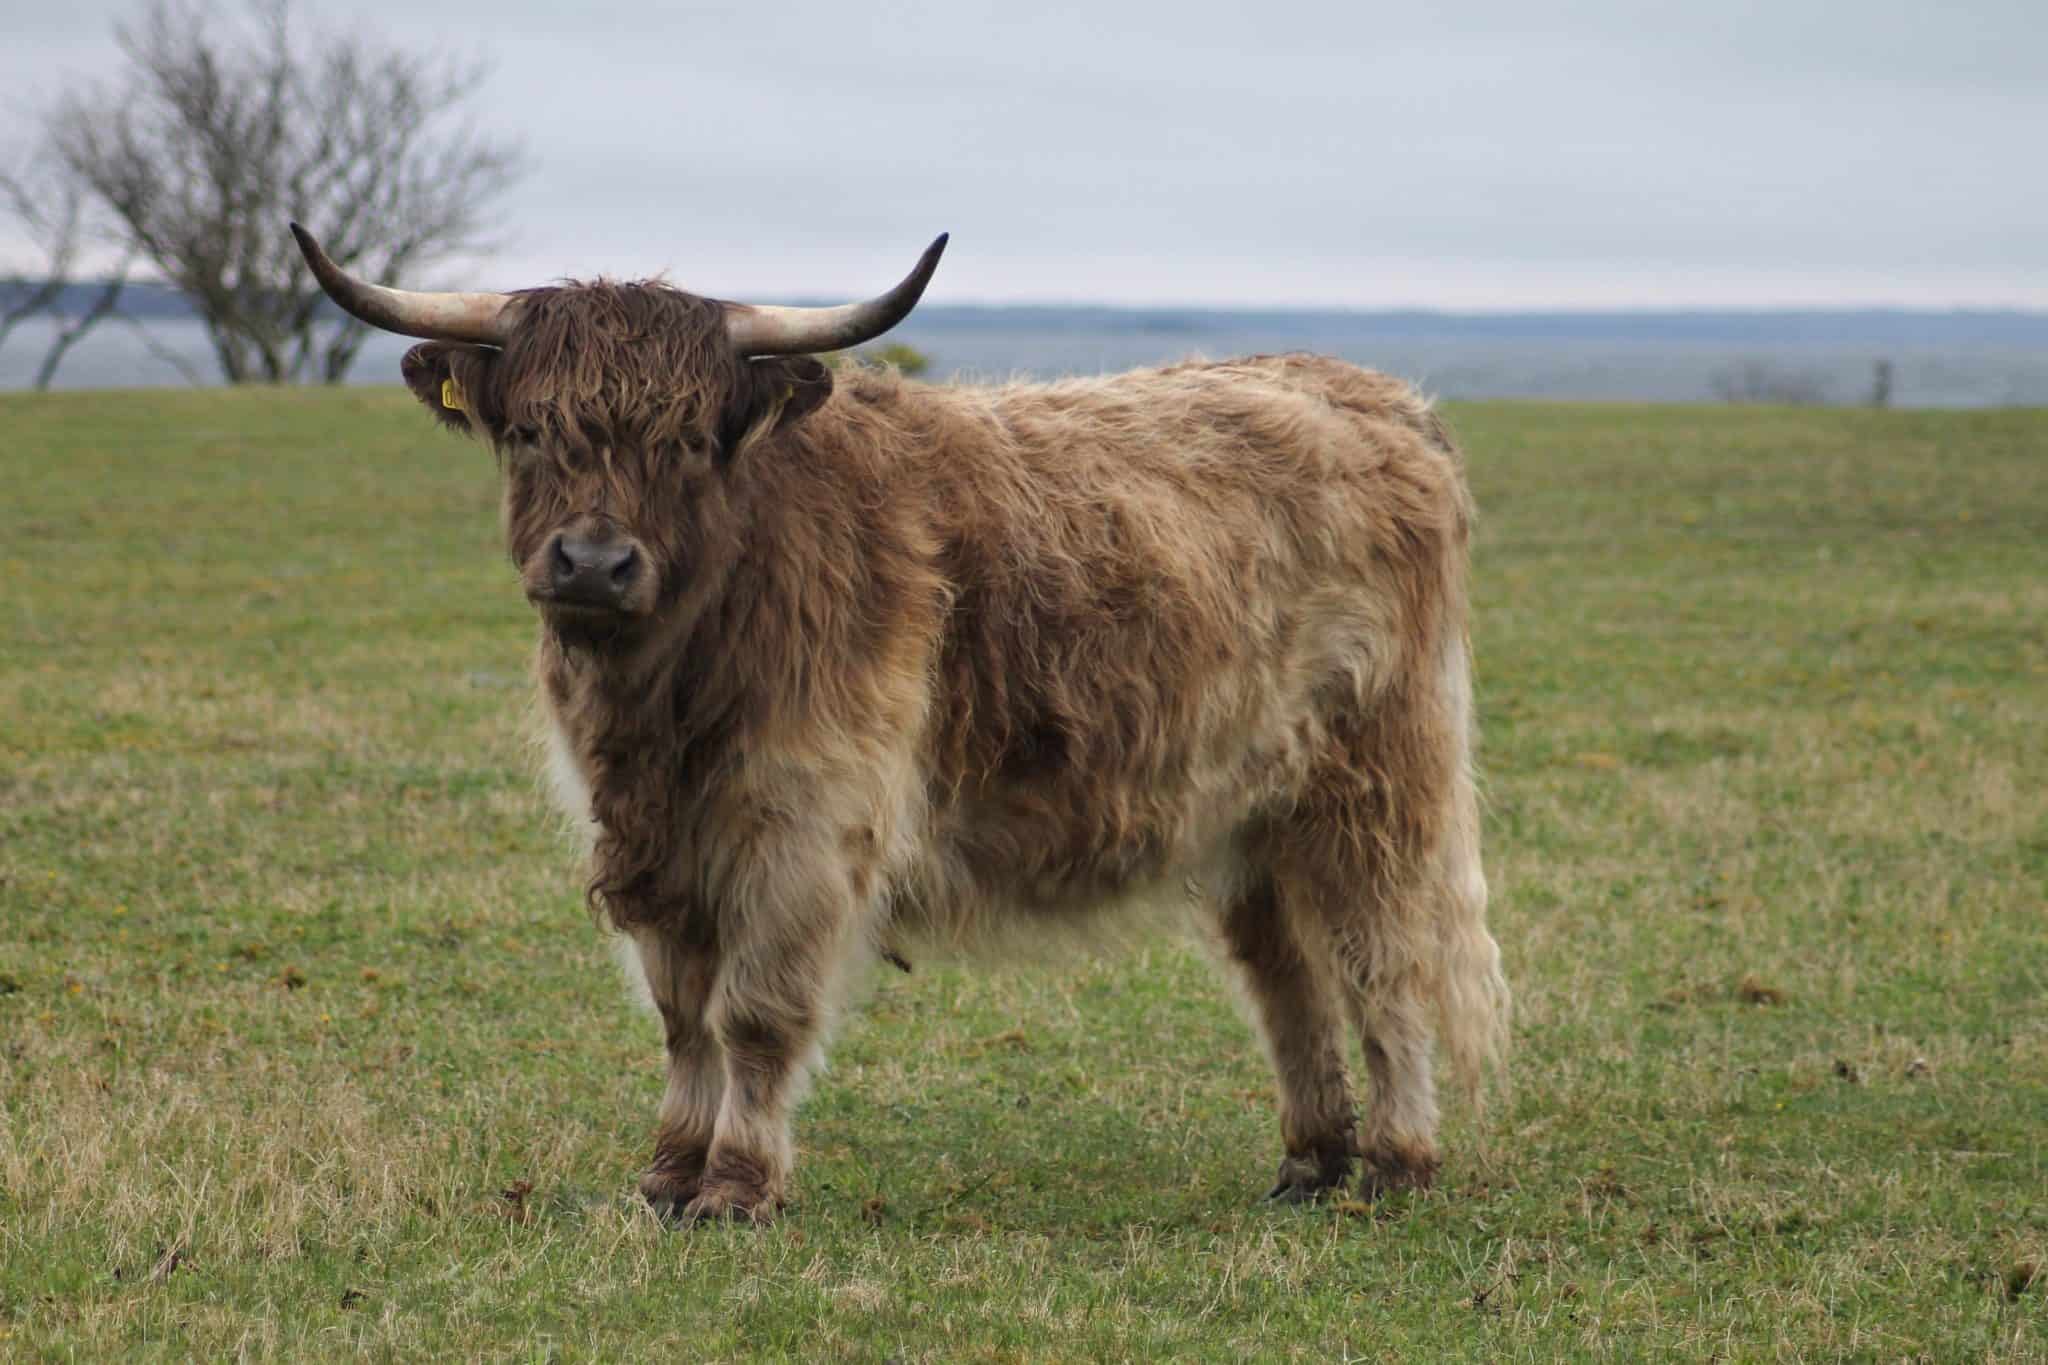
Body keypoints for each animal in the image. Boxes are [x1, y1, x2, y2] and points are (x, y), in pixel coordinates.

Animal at [293, 223, 1509, 1224]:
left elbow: (754, 1011)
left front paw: (738, 1187)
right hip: (1249, 807)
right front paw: (668, 1174)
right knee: (1287, 977)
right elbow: (682, 1011)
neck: (668, 689)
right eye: (534, 428)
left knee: (1384, 956)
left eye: (688, 438)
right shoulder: (648, 836)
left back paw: (1397, 1163)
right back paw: (1310, 1162)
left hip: (1376, 779)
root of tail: (1382, 399)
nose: (592, 563)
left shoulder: (806, 823)